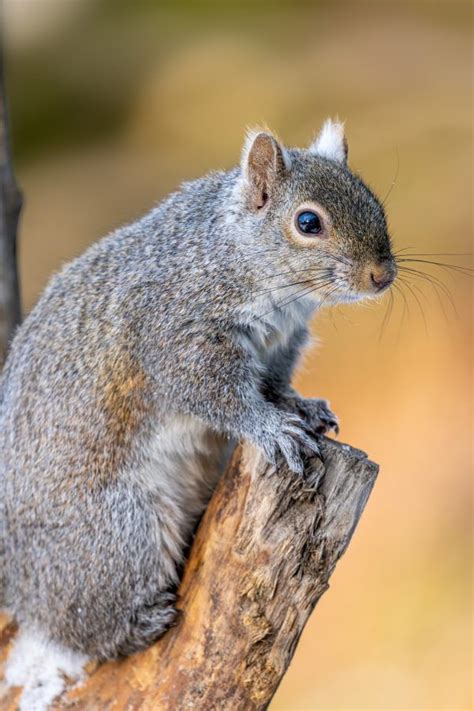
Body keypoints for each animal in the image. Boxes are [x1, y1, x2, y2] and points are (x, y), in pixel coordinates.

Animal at [0, 119, 396, 709]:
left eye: (373, 200)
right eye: (308, 222)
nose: (382, 275)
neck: (233, 252)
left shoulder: (281, 345)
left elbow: (273, 384)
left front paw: (300, 405)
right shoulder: (179, 334)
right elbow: (215, 394)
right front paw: (270, 427)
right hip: (119, 537)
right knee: (86, 627)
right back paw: (139, 624)